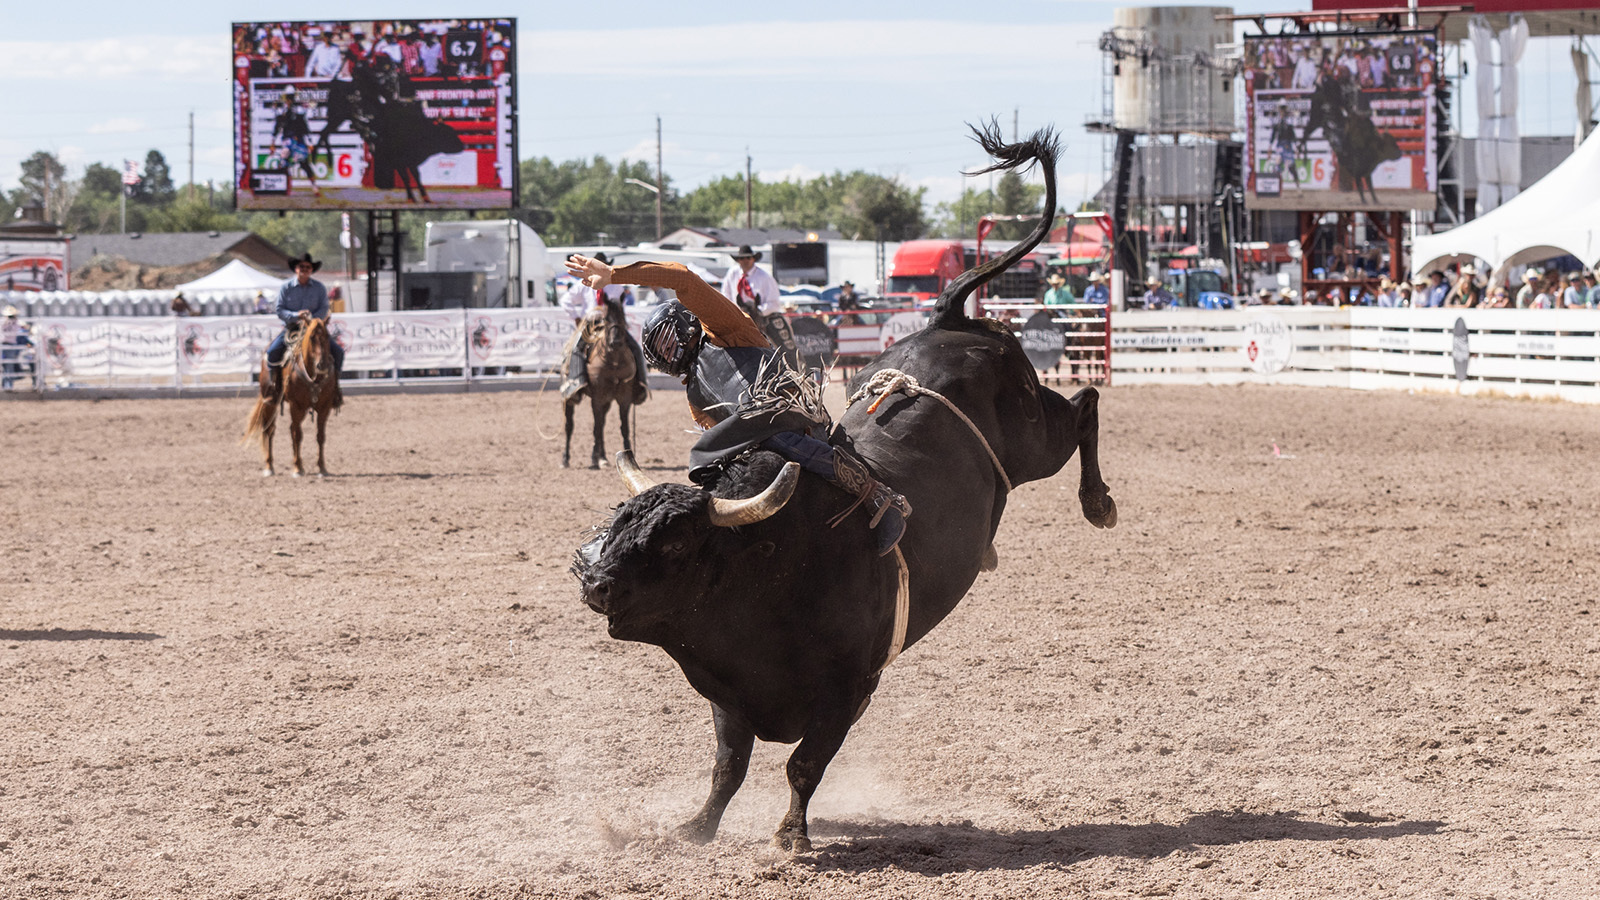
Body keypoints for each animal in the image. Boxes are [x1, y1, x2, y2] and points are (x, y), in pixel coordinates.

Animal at [571, 121, 1117, 853]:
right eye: (621, 522)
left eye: (678, 543)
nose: (594, 580)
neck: (767, 565)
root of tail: (950, 320)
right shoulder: (728, 695)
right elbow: (728, 766)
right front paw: (697, 829)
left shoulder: (850, 689)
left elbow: (803, 764)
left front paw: (792, 836)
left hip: (1036, 437)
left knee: (1084, 402)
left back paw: (1098, 502)